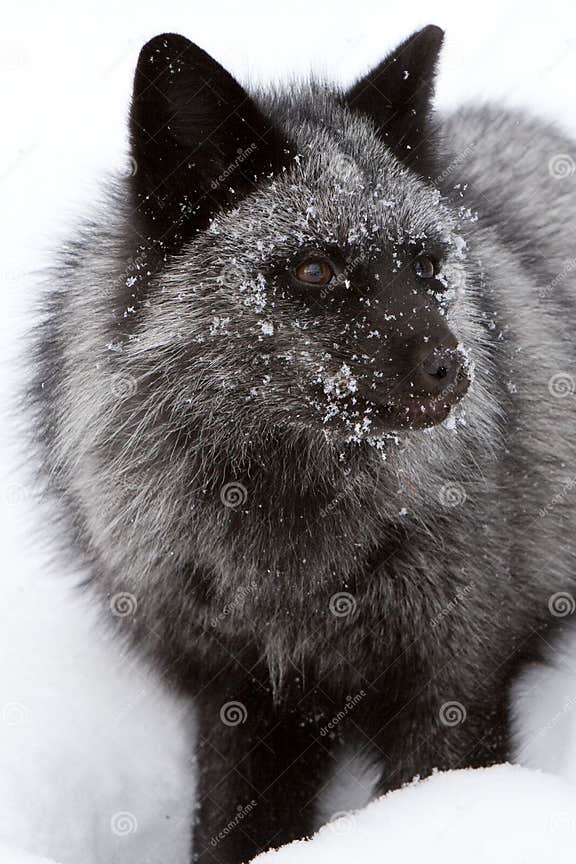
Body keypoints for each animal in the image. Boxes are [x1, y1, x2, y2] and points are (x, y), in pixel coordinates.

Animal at [31, 22, 576, 863]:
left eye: (428, 263)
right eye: (315, 269)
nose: (454, 370)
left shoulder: (457, 673)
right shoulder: (236, 688)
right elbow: (231, 824)